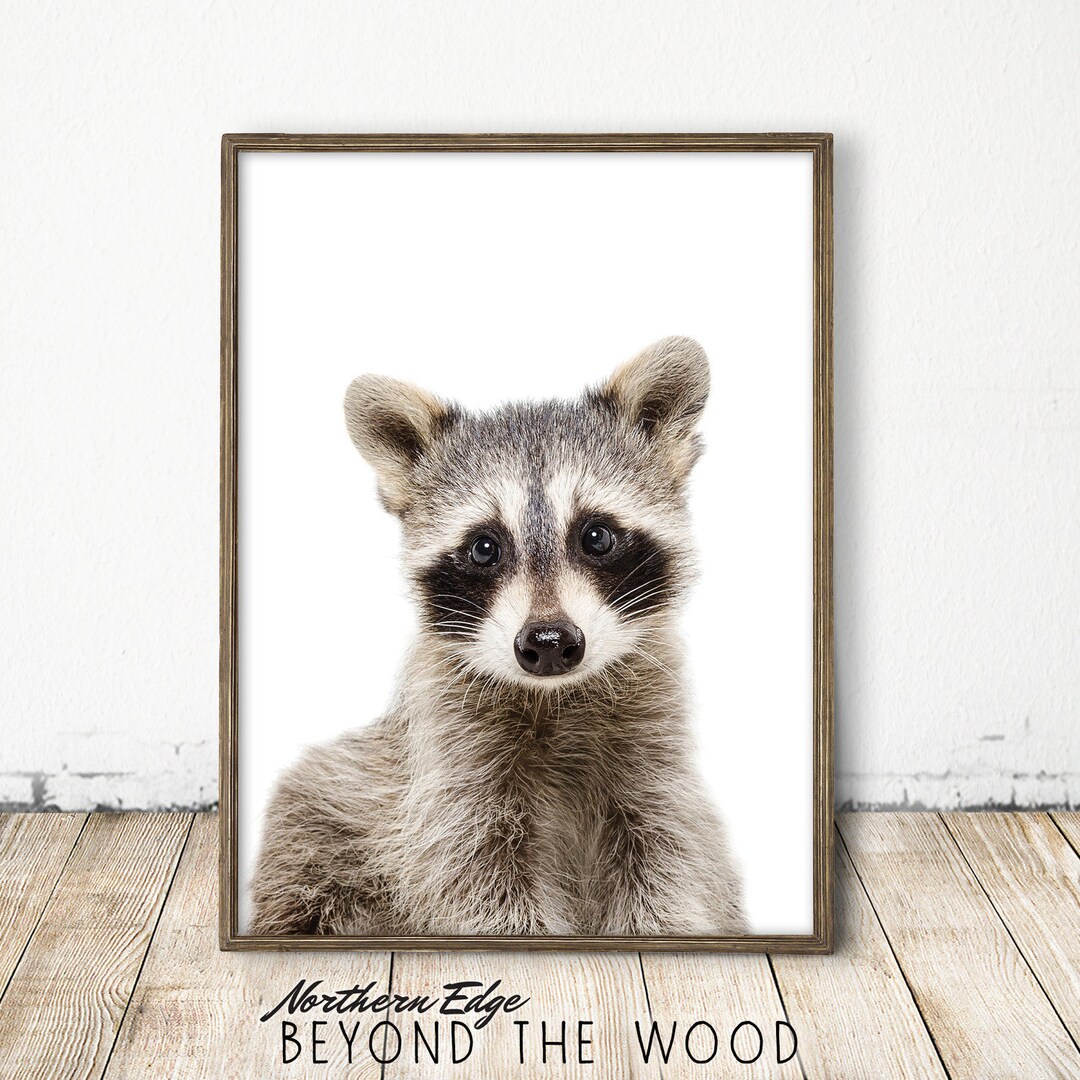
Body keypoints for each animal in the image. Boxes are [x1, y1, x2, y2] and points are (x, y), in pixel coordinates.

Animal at [249, 336, 747, 937]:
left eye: (597, 536)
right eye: (484, 548)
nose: (550, 642)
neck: (555, 696)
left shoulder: (656, 768)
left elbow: (669, 864)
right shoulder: (451, 775)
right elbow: (479, 884)